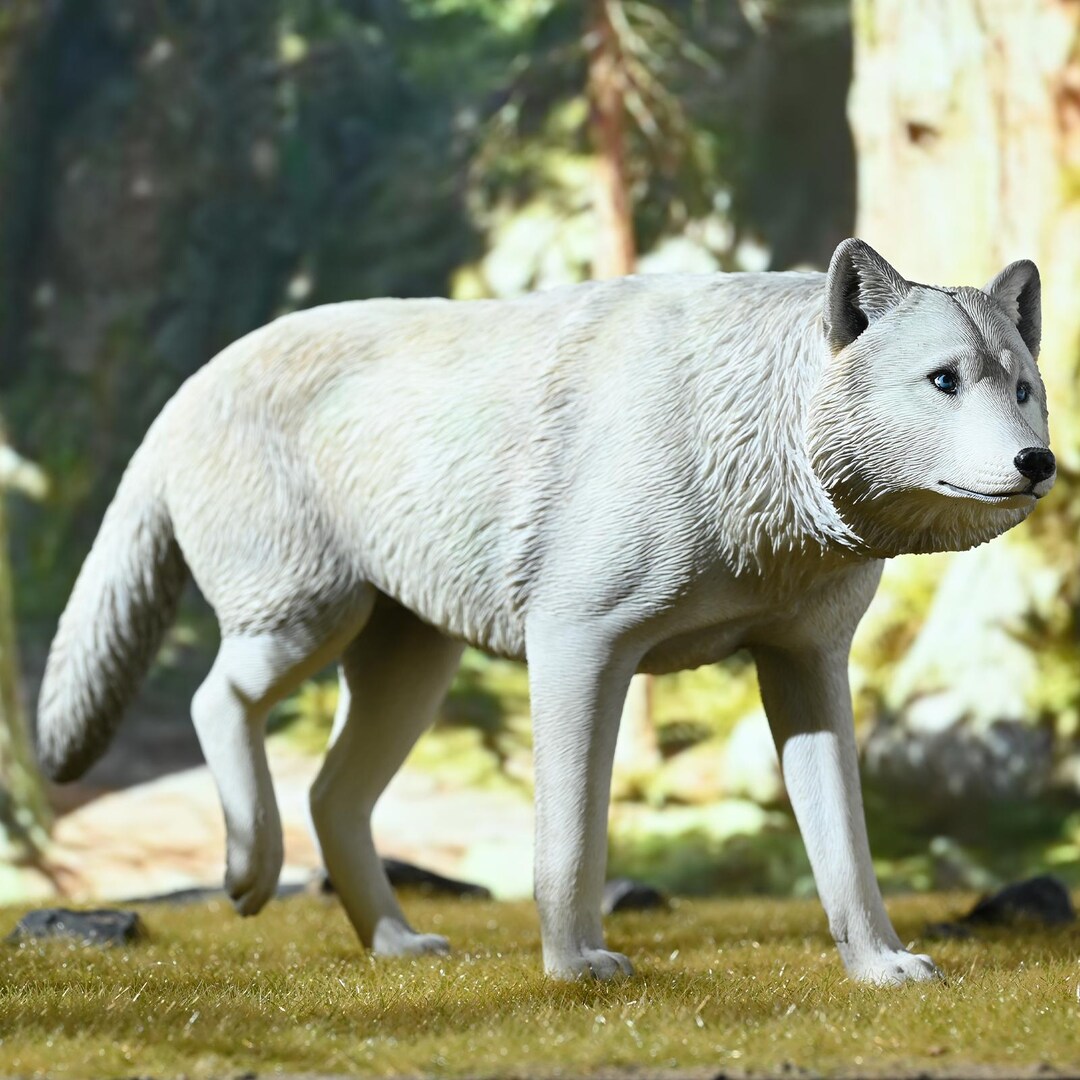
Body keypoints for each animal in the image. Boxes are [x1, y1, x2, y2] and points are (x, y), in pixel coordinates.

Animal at [37, 238, 1053, 984]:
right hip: (303, 623)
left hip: (409, 672)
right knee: (217, 702)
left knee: (333, 794)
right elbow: (568, 840)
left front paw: (880, 967)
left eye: (1024, 388)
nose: (1038, 462)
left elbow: (846, 848)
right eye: (944, 380)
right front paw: (574, 967)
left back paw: (395, 945)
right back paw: (248, 869)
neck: (748, 439)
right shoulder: (577, 649)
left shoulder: (806, 666)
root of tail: (190, 384)